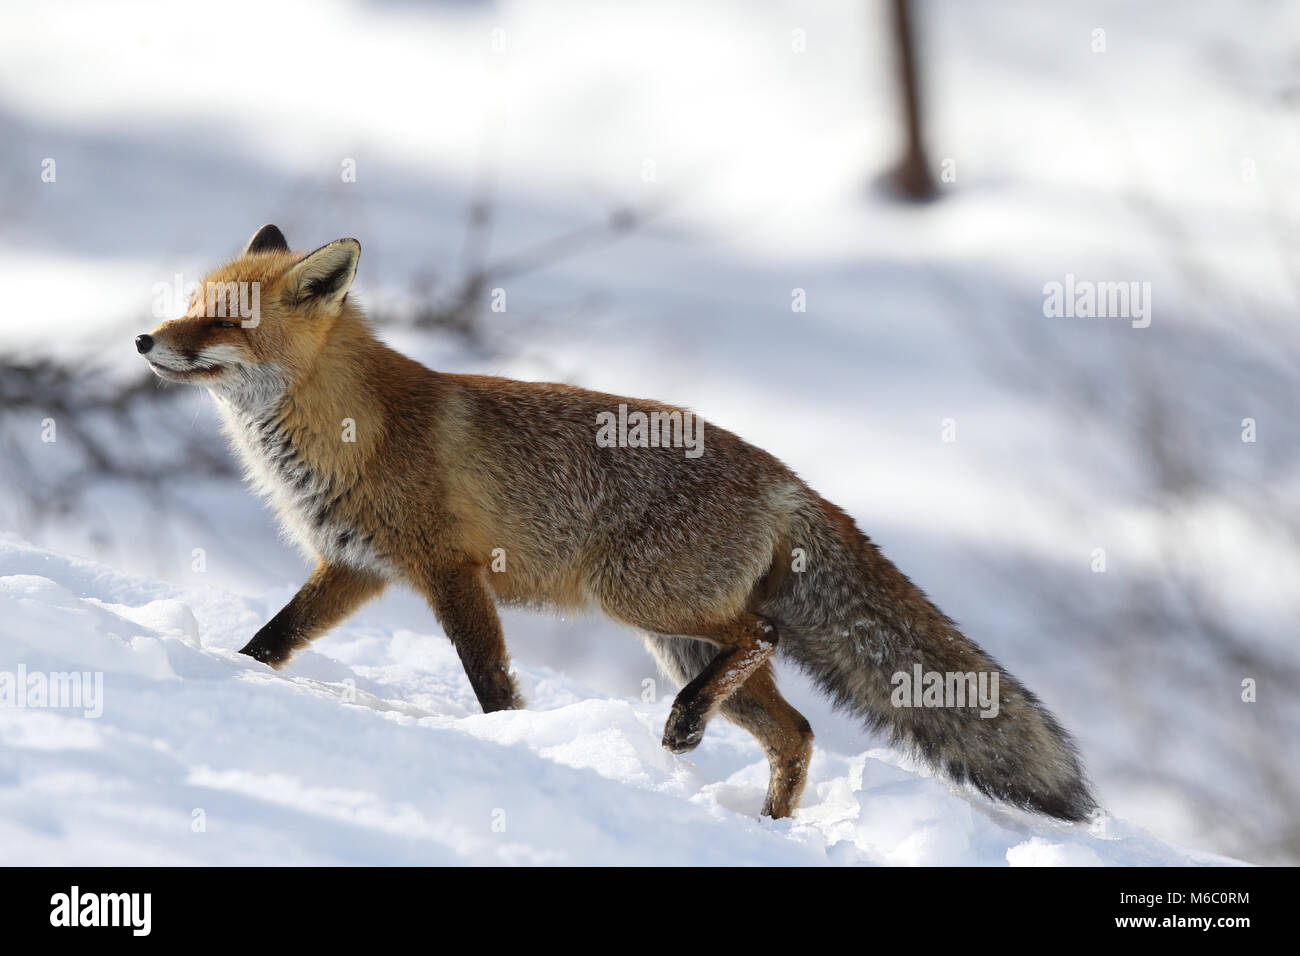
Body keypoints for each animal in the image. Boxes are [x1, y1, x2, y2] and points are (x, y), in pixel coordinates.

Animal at [136, 224, 1095, 821]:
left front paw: (509, 746)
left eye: (221, 322)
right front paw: (228, 677)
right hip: (676, 639)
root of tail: (785, 477)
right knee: (797, 729)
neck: (342, 429)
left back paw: (689, 729)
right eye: (187, 305)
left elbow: (491, 681)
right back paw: (767, 825)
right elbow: (269, 642)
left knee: (764, 636)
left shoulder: (449, 571)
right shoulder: (355, 566)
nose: (145, 340)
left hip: (644, 604)